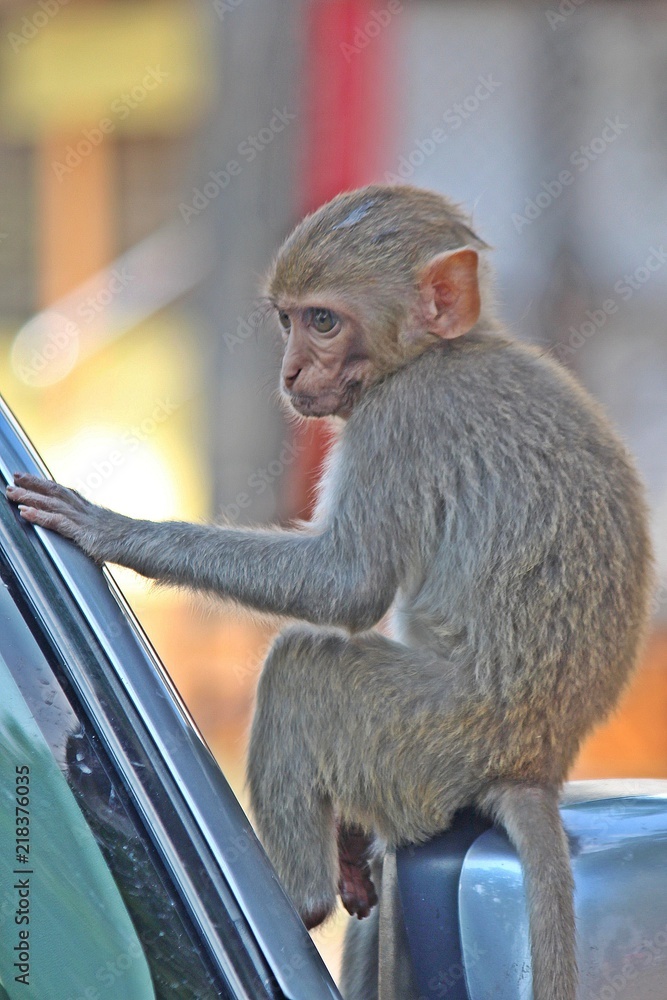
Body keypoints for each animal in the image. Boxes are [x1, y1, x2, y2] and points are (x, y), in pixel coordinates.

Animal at [6, 184, 653, 1000]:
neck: (439, 351)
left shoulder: (396, 420)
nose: (288, 375)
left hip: (430, 735)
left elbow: (346, 587)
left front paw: (114, 529)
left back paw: (297, 901)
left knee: (304, 668)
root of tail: (532, 764)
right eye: (288, 319)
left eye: (322, 321)